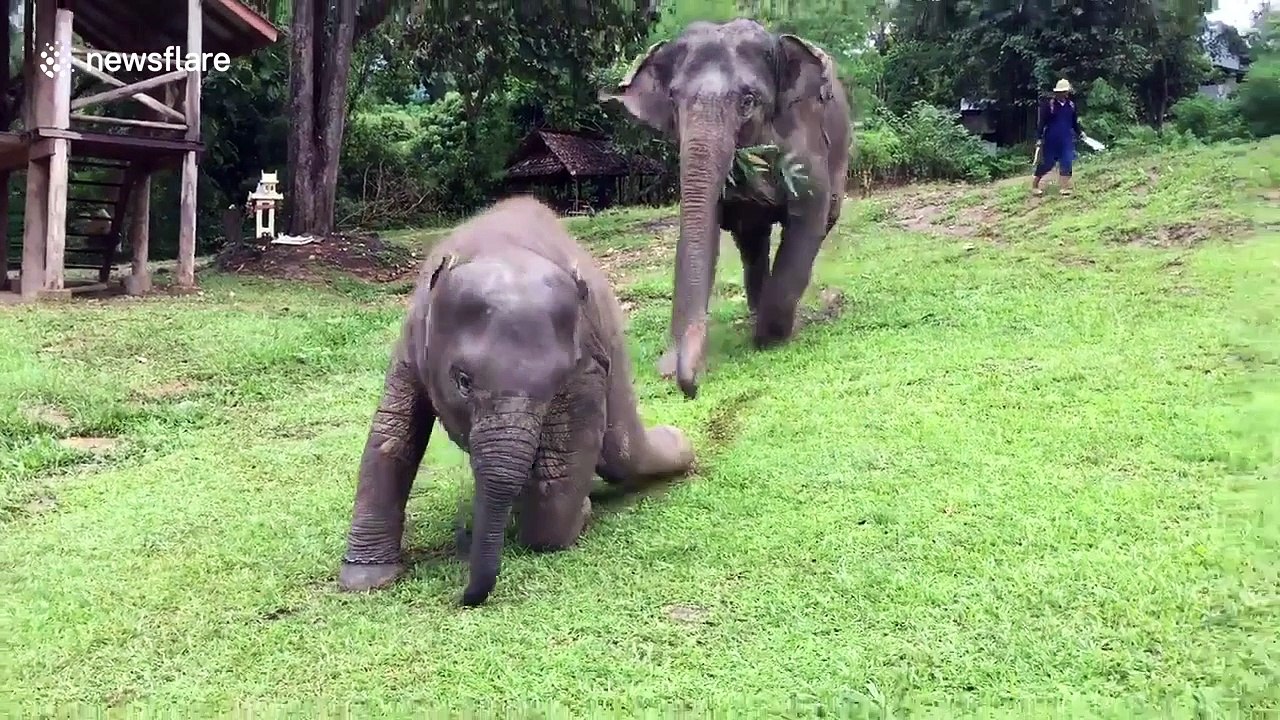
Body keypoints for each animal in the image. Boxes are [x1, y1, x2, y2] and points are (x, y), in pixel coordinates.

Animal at [336, 196, 697, 607]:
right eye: (463, 381)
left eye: (557, 385)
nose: (463, 596)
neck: (503, 249)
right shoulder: (411, 340)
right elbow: (391, 434)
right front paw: (366, 579)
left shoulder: (589, 363)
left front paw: (579, 514)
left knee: (618, 454)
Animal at [600, 18, 851, 399]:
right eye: (673, 99)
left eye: (749, 100)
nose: (691, 388)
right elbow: (701, 226)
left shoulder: (804, 130)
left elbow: (809, 211)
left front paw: (769, 339)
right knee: (752, 240)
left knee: (822, 221)